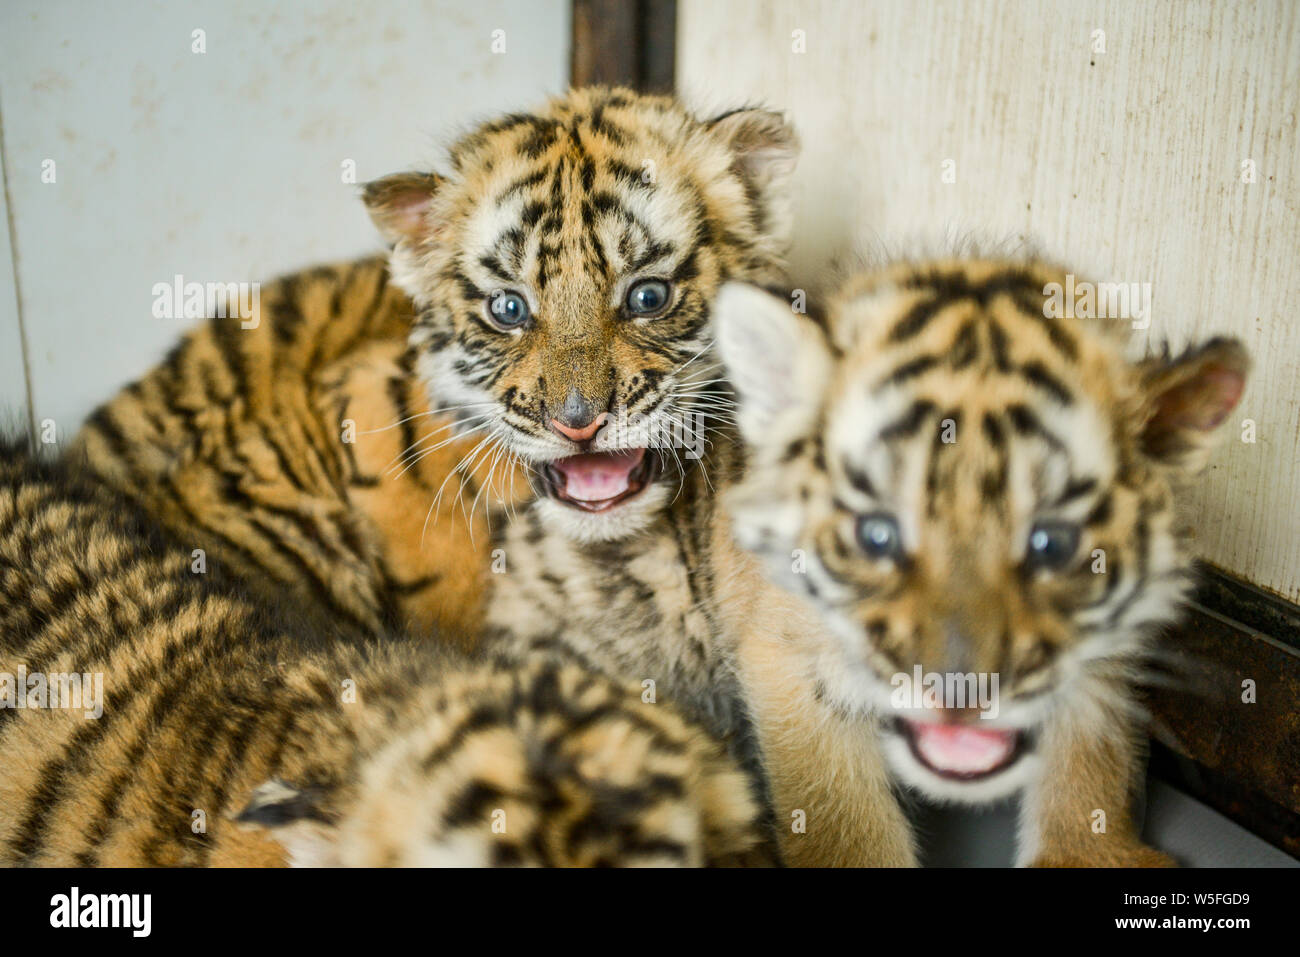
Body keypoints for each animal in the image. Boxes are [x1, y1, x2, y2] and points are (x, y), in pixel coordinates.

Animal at [706, 257, 1250, 866]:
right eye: (877, 534)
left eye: (1051, 542)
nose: (961, 691)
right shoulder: (785, 658)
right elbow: (841, 815)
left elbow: (1090, 759)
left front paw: (1087, 851)